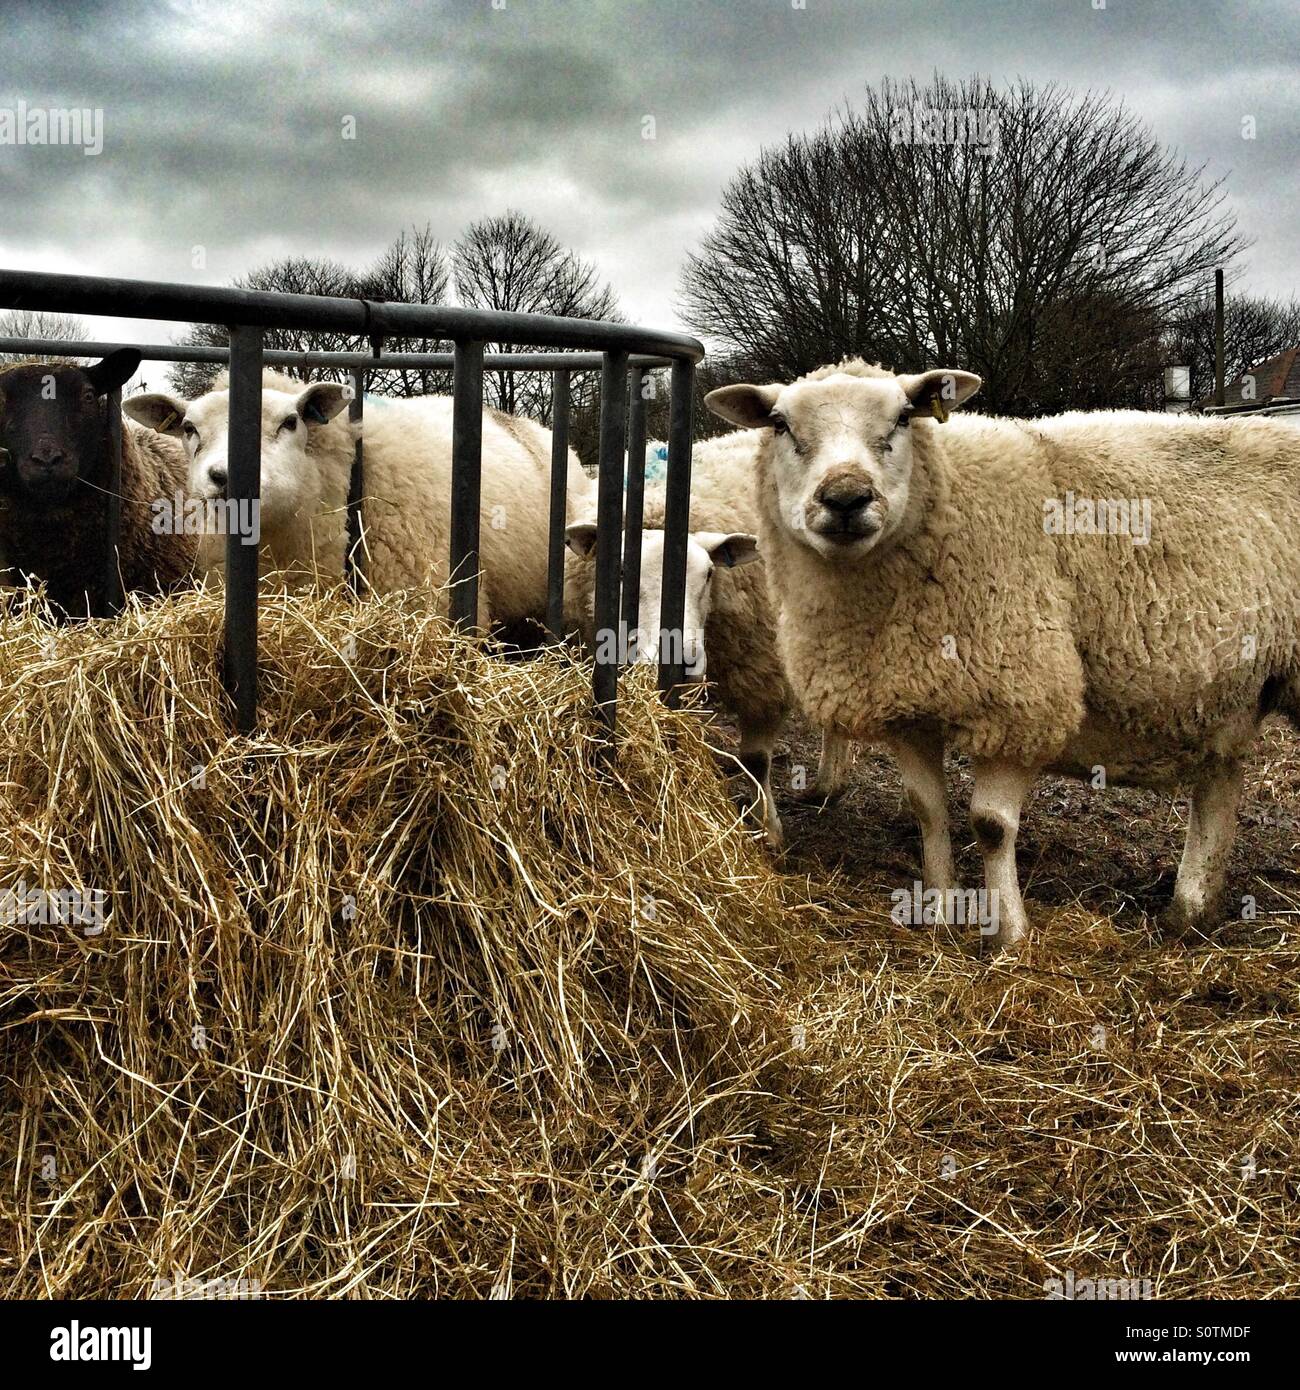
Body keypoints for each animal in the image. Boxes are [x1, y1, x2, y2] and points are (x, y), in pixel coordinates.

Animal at [564, 428, 853, 848]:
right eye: (620, 573)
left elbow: (756, 761)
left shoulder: (762, 673)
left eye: (710, 574)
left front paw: (768, 830)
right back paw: (827, 786)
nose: (679, 659)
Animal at [707, 358, 1300, 947]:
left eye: (903, 417)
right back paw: (1192, 909)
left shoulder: (1019, 698)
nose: (847, 497)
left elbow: (990, 825)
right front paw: (939, 908)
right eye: (780, 424)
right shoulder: (906, 705)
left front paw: (1008, 933)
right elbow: (928, 810)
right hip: (1235, 689)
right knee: (1221, 783)